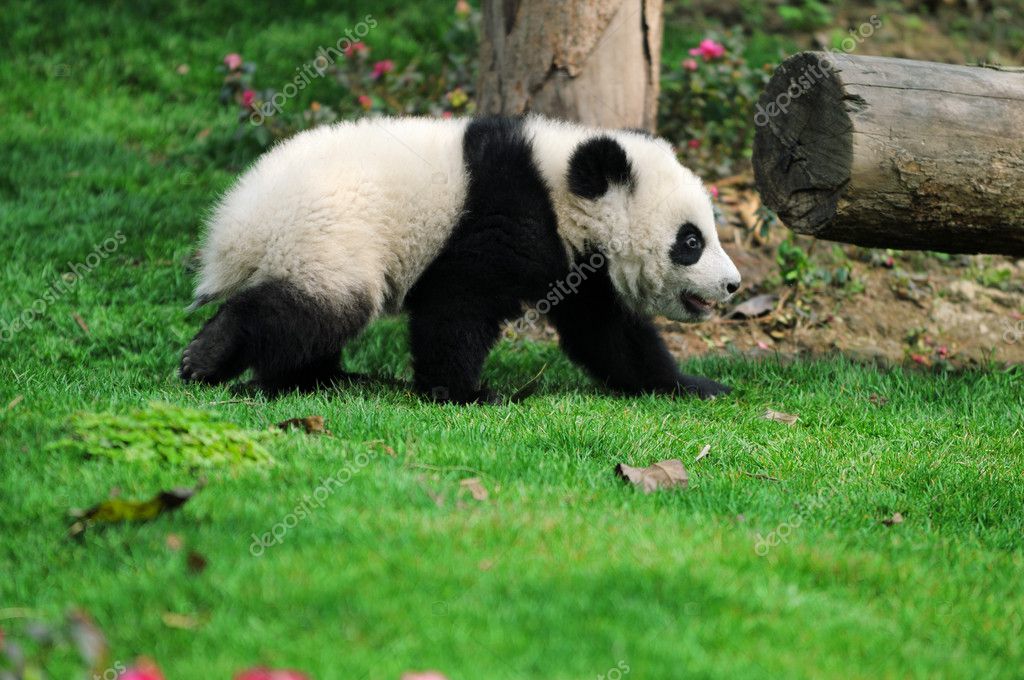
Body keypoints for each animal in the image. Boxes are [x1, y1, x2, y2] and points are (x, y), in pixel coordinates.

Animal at [180, 114, 741, 403]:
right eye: (691, 241)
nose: (733, 285)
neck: (560, 187)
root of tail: (236, 225)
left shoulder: (577, 265)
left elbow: (606, 333)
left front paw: (691, 386)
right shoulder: (503, 214)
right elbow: (458, 306)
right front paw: (464, 393)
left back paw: (323, 380)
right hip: (330, 234)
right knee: (314, 310)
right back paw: (208, 356)